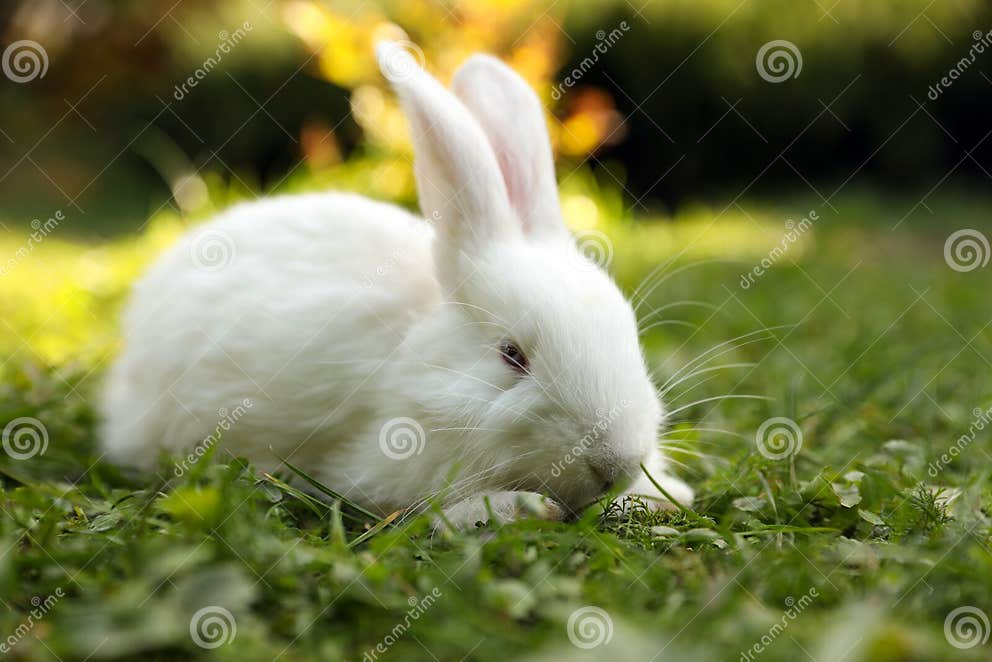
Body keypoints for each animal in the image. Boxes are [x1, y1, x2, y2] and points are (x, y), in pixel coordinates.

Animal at [99, 41, 694, 529]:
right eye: (512, 355)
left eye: (627, 333)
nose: (616, 462)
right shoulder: (377, 462)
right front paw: (518, 508)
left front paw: (662, 495)